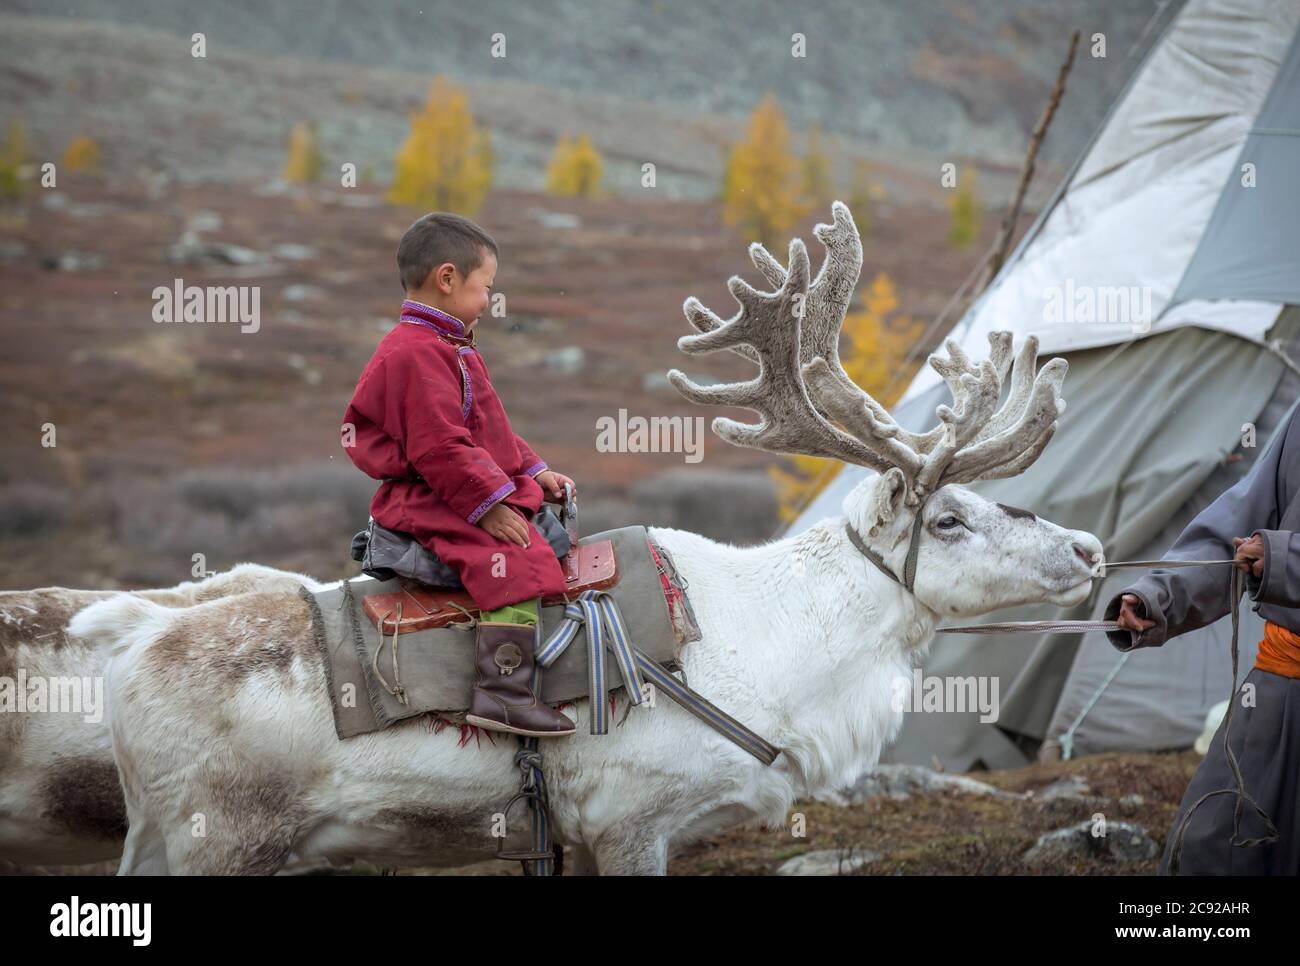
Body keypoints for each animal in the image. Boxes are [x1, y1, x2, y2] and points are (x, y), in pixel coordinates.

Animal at [73, 202, 1102, 875]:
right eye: (948, 519)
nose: (1090, 552)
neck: (780, 647)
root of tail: (129, 640)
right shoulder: (631, 823)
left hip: (163, 841)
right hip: (220, 839)